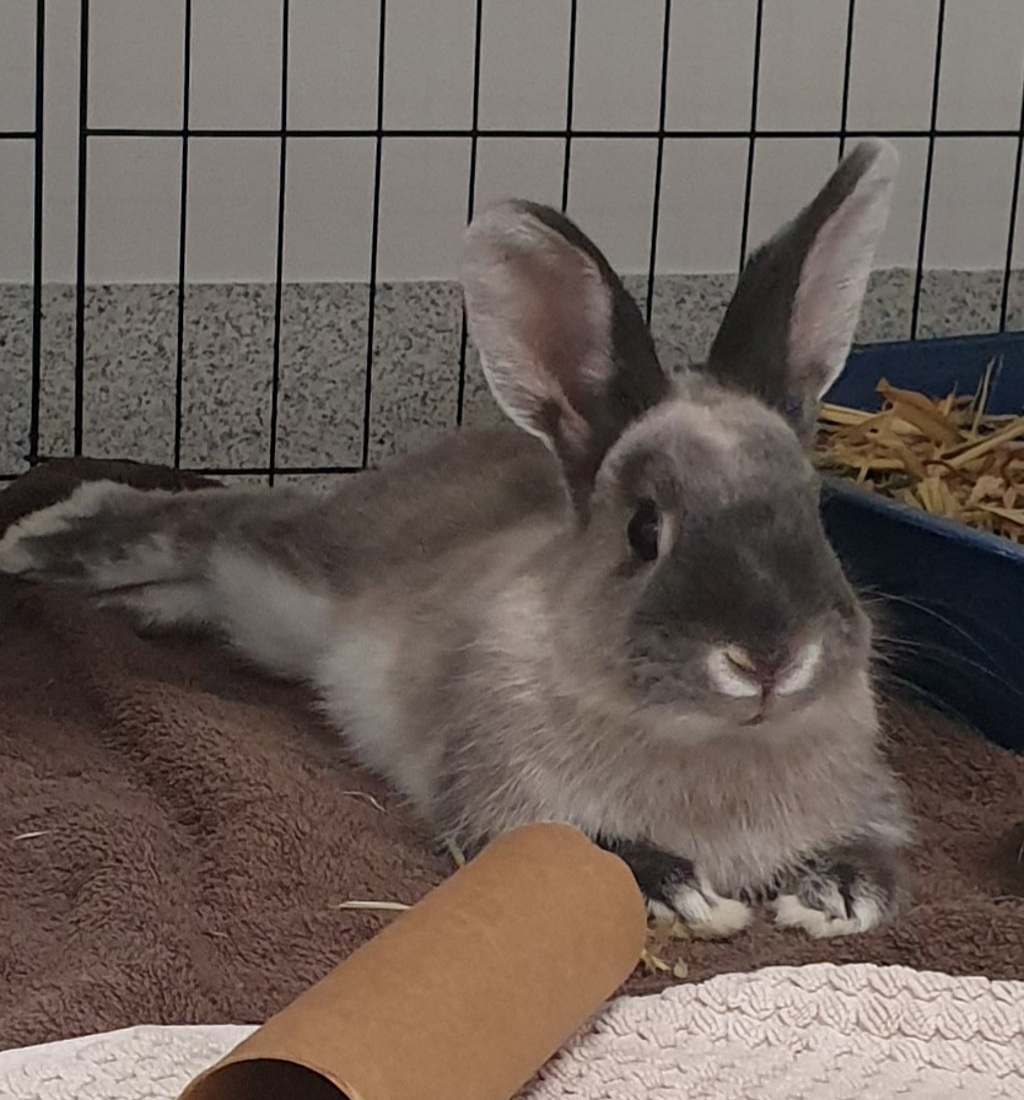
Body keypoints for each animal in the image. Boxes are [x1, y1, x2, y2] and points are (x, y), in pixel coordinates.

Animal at [0, 138, 911, 940]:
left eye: (815, 510)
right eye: (644, 528)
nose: (767, 659)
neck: (710, 741)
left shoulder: (866, 808)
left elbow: (865, 860)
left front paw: (834, 900)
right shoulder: (505, 805)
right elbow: (609, 854)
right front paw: (692, 898)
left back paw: (142, 605)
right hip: (297, 557)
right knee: (208, 524)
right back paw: (37, 536)